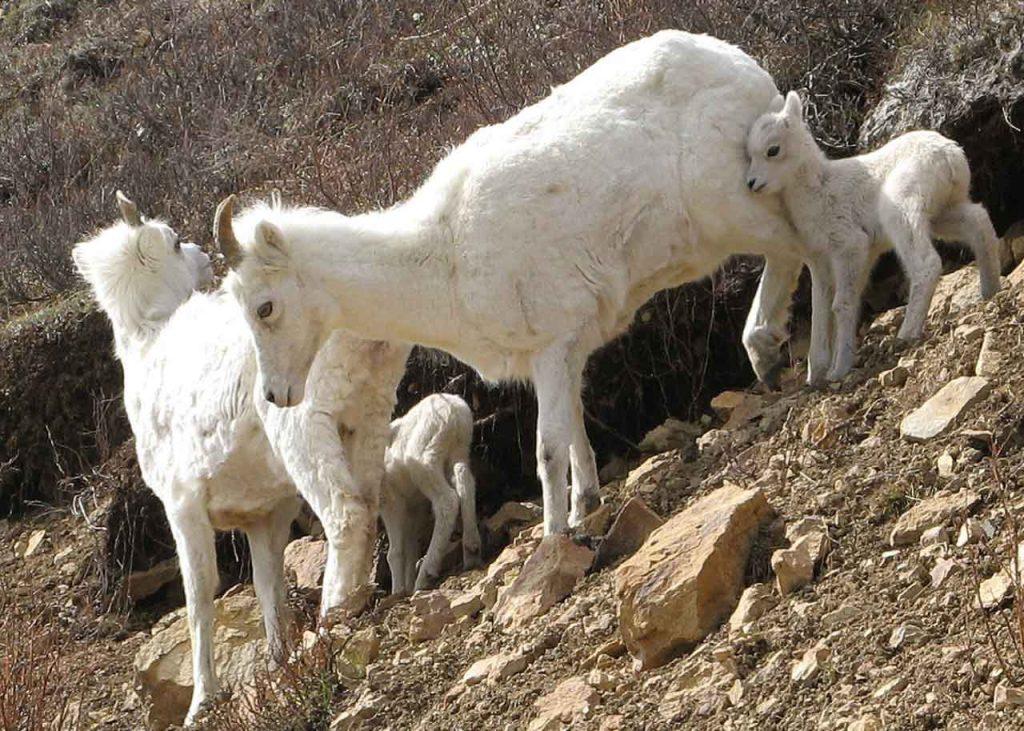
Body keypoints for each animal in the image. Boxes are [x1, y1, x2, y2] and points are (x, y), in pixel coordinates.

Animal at [74, 193, 409, 724]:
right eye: (176, 241)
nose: (199, 254)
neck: (148, 346)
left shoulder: (183, 507)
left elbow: (199, 598)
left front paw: (201, 704)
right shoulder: (263, 515)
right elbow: (268, 589)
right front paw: (277, 668)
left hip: (305, 428)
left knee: (346, 514)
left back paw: (334, 616)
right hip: (367, 416)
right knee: (368, 502)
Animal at [215, 31, 820, 537]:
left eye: (265, 307)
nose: (276, 394)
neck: (444, 260)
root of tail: (750, 73)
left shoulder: (552, 346)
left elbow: (547, 450)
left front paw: (555, 533)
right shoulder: (563, 354)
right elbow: (575, 432)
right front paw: (584, 507)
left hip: (734, 207)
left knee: (800, 246)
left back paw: (773, 352)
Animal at [380, 393, 482, 595]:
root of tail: (455, 412)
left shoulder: (392, 501)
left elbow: (395, 551)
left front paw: (398, 591)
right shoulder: (414, 507)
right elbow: (411, 547)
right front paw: (406, 587)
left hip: (425, 460)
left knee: (447, 501)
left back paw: (426, 575)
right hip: (458, 451)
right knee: (465, 481)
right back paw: (472, 550)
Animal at [746, 91, 1002, 383]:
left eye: (772, 150)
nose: (751, 183)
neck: (819, 189)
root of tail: (950, 155)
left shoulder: (850, 246)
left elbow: (841, 305)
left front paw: (838, 371)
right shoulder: (831, 262)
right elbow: (825, 310)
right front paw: (822, 373)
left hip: (900, 211)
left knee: (927, 263)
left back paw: (907, 333)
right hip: (943, 212)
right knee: (979, 222)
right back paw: (989, 290)